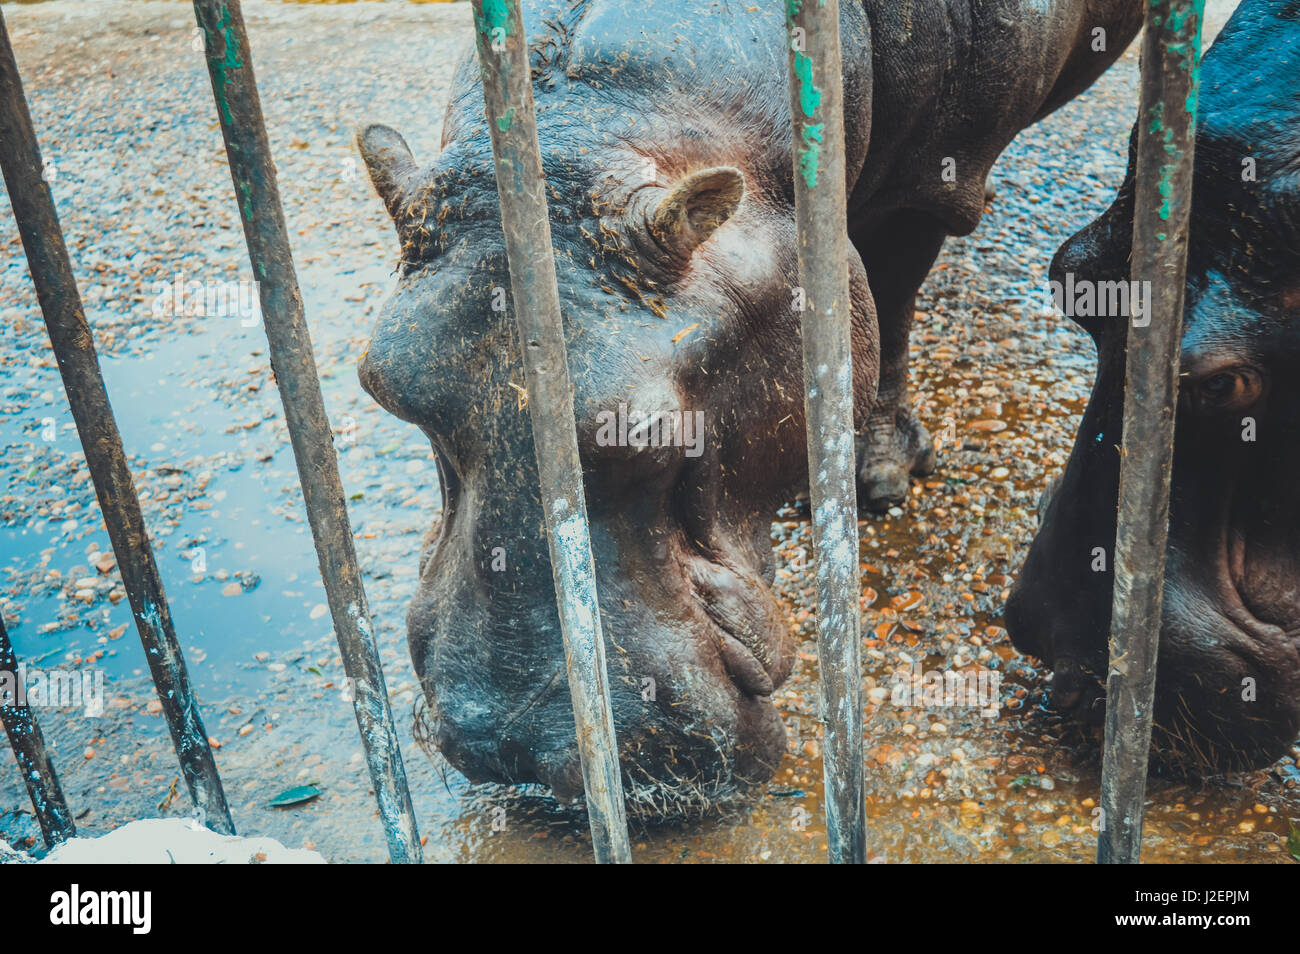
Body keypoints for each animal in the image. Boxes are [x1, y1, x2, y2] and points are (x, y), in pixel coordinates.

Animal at [356, 0, 1143, 814]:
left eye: (656, 436)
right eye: (381, 383)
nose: (515, 743)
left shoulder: (927, 185)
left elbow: (890, 296)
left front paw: (877, 480)